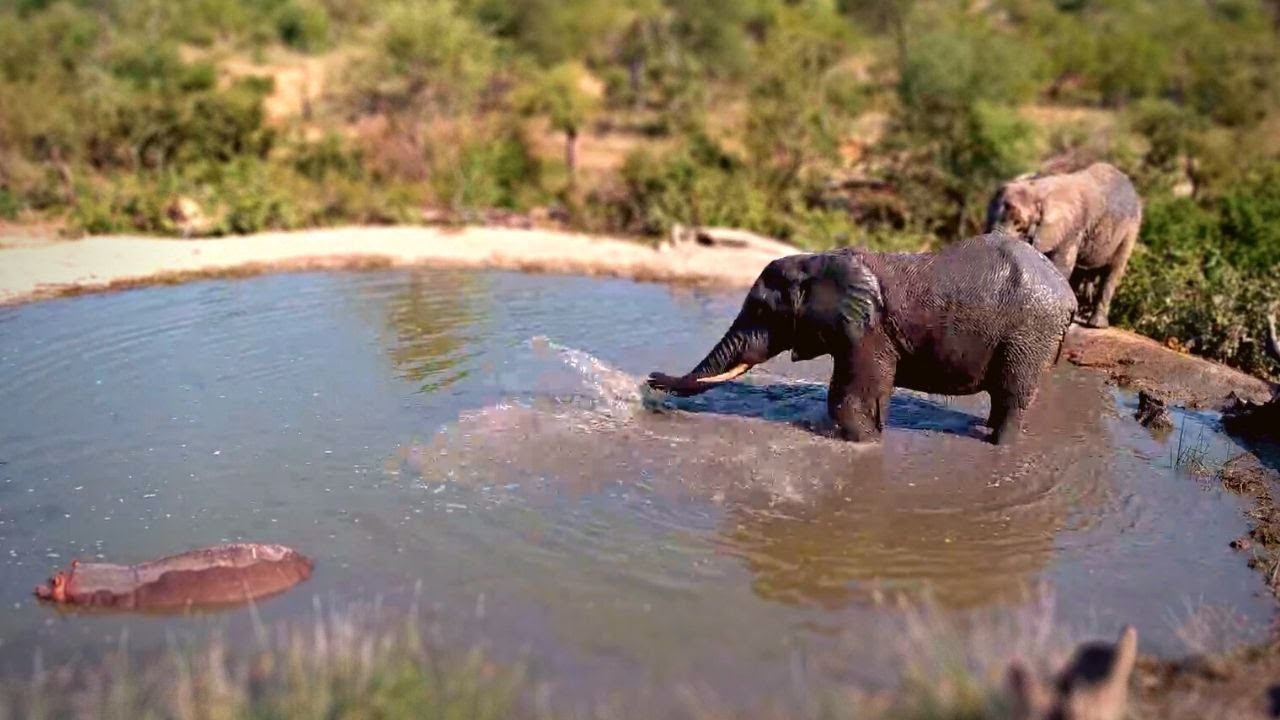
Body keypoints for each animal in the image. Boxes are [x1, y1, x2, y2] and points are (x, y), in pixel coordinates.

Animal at [646, 234, 1077, 445]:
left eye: (763, 311)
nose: (649, 379)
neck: (818, 260)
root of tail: (1067, 293)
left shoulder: (872, 330)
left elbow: (851, 399)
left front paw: (861, 442)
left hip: (1030, 334)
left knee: (1011, 398)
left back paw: (998, 447)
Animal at [984, 162, 1142, 329]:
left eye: (1020, 226)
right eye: (988, 217)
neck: (1039, 191)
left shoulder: (1072, 229)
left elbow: (1061, 266)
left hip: (1131, 230)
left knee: (1112, 272)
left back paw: (1096, 325)